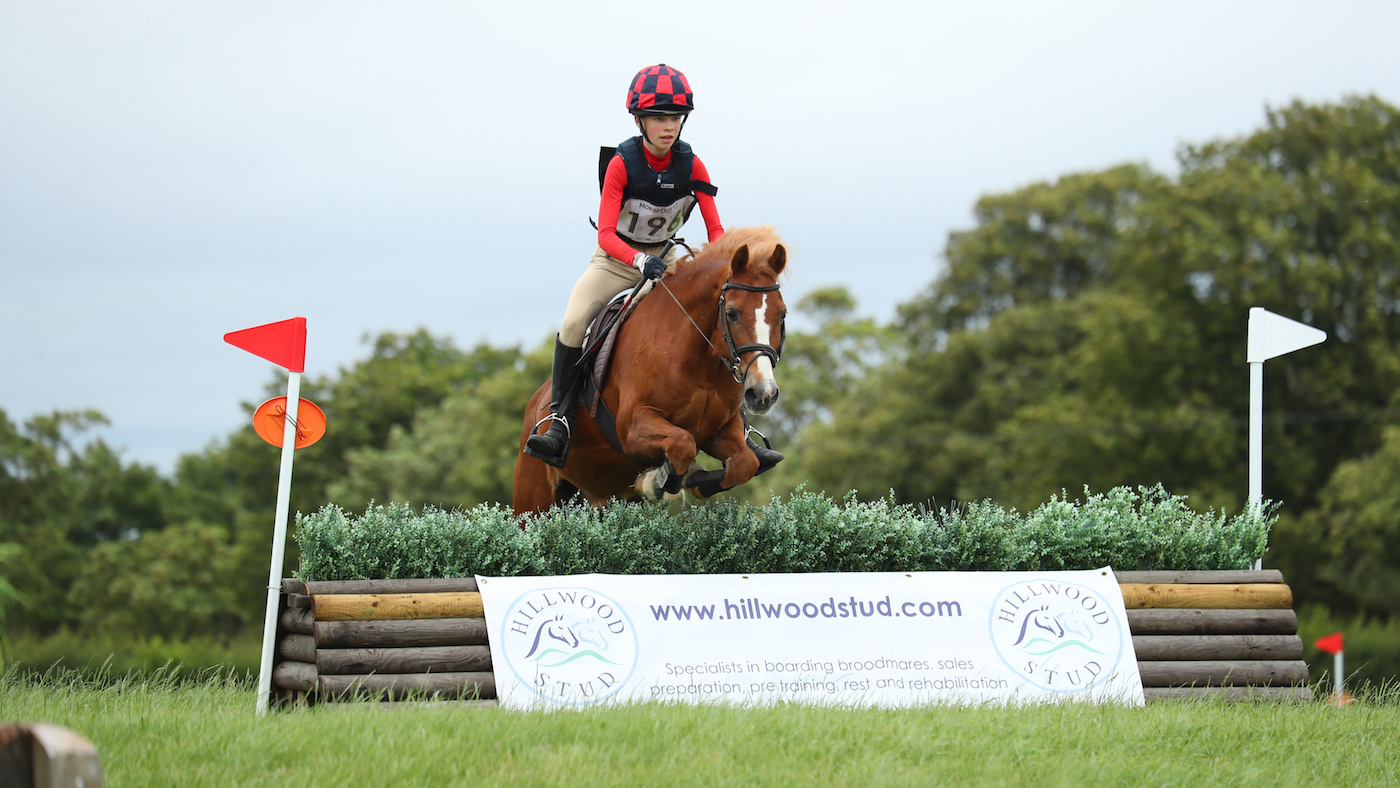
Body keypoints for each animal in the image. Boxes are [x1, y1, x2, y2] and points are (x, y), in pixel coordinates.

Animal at [513, 226, 788, 516]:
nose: (763, 393)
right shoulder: (632, 427)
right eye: (732, 313)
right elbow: (682, 443)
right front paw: (656, 481)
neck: (701, 365)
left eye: (782, 315)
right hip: (532, 501)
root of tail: (535, 403)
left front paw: (695, 479)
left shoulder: (721, 428)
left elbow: (745, 463)